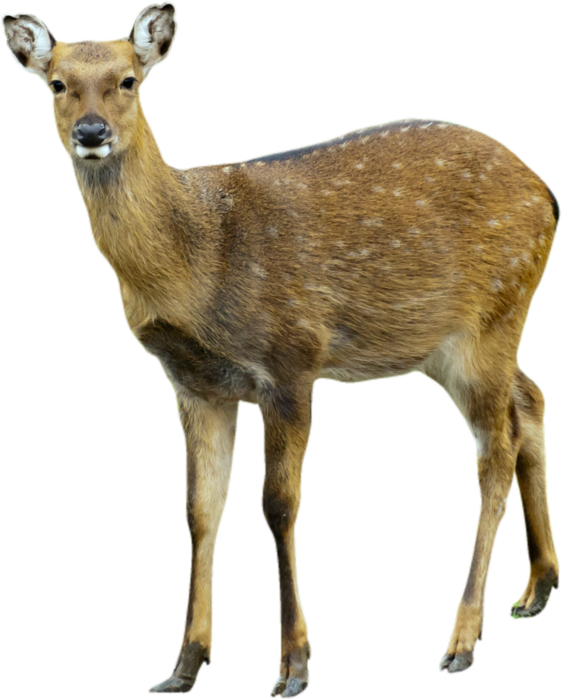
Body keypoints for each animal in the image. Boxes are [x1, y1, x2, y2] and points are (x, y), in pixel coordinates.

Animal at [2, 3, 560, 695]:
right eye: (57, 83)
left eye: (129, 79)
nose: (91, 130)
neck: (197, 263)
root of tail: (549, 195)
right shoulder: (196, 384)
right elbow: (200, 510)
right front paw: (183, 667)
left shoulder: (292, 358)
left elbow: (278, 505)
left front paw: (294, 666)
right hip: (460, 339)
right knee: (530, 400)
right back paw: (536, 590)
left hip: (491, 317)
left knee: (494, 454)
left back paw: (461, 642)